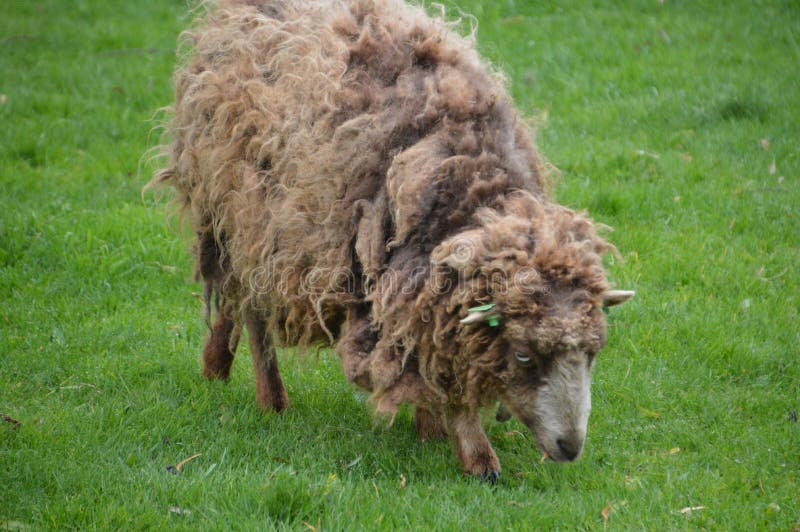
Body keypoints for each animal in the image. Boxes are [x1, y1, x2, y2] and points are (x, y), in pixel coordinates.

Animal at [150, 0, 634, 481]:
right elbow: (440, 372)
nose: (570, 447)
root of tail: (235, 11)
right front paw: (477, 456)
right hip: (242, 213)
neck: (471, 181)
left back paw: (216, 366)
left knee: (233, 300)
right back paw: (271, 399)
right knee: (251, 308)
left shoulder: (417, 292)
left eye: (593, 353)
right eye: (522, 356)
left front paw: (431, 429)